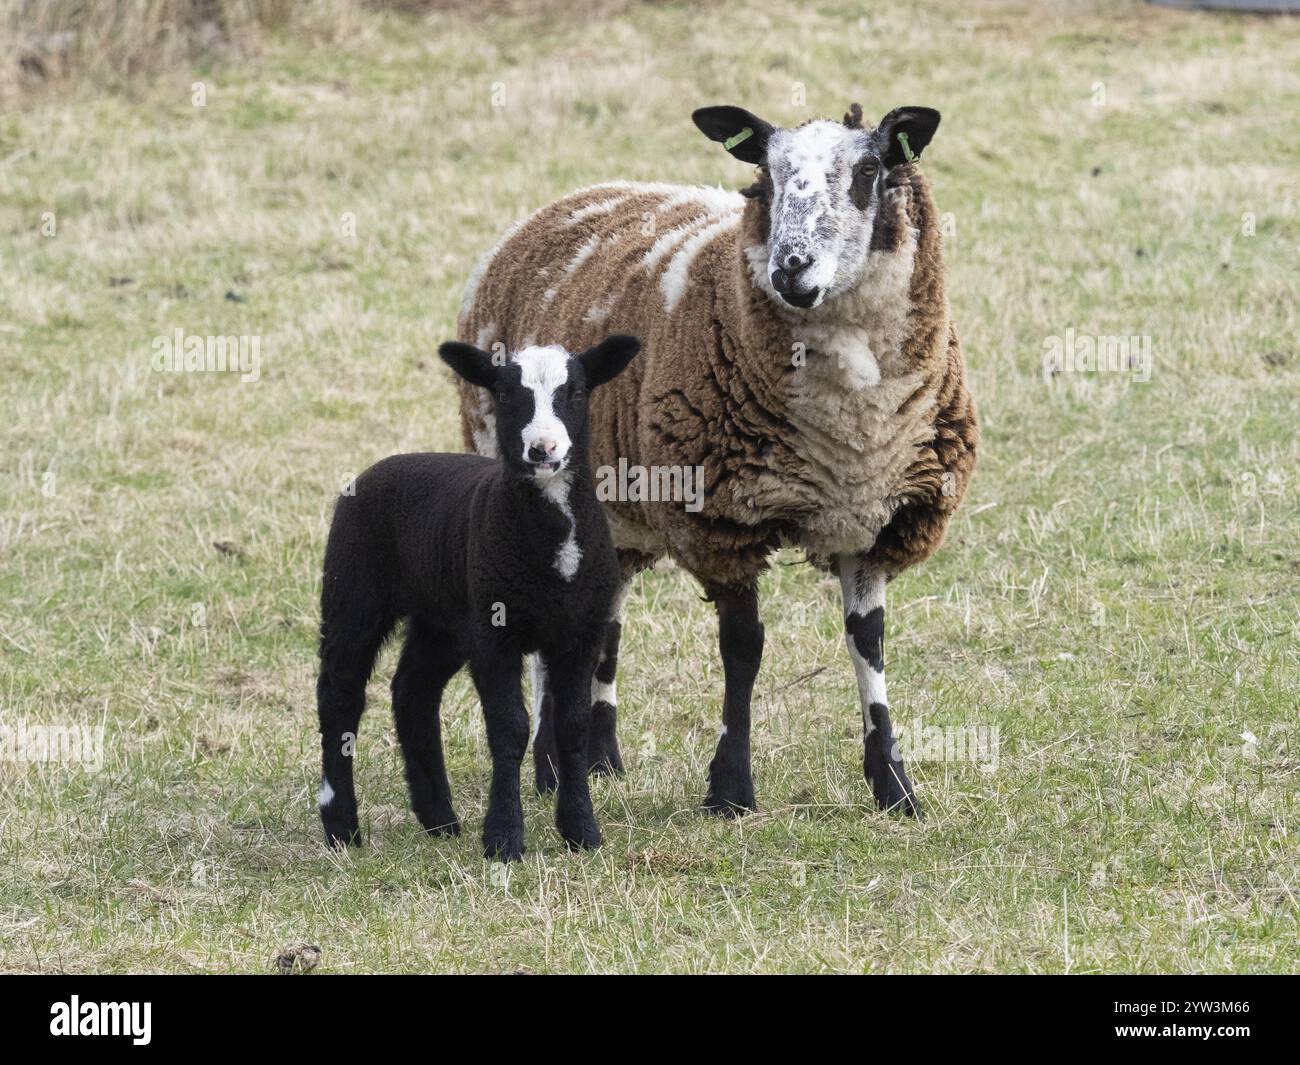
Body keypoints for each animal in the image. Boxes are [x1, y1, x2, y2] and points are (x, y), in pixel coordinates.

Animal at [316, 334, 641, 860]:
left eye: (576, 392)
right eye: (505, 394)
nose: (542, 448)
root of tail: (384, 465)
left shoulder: (581, 632)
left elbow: (572, 726)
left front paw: (581, 831)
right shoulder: (494, 634)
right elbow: (509, 728)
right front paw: (503, 839)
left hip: (442, 619)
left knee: (413, 692)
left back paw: (439, 819)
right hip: (353, 590)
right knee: (338, 698)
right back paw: (341, 827)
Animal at [456, 102, 978, 818]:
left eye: (870, 169)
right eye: (767, 173)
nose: (791, 270)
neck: (849, 432)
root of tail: (564, 202)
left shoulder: (879, 519)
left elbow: (867, 643)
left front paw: (894, 787)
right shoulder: (721, 522)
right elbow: (743, 650)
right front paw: (730, 788)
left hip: (619, 519)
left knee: (604, 625)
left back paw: (599, 760)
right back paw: (549, 768)